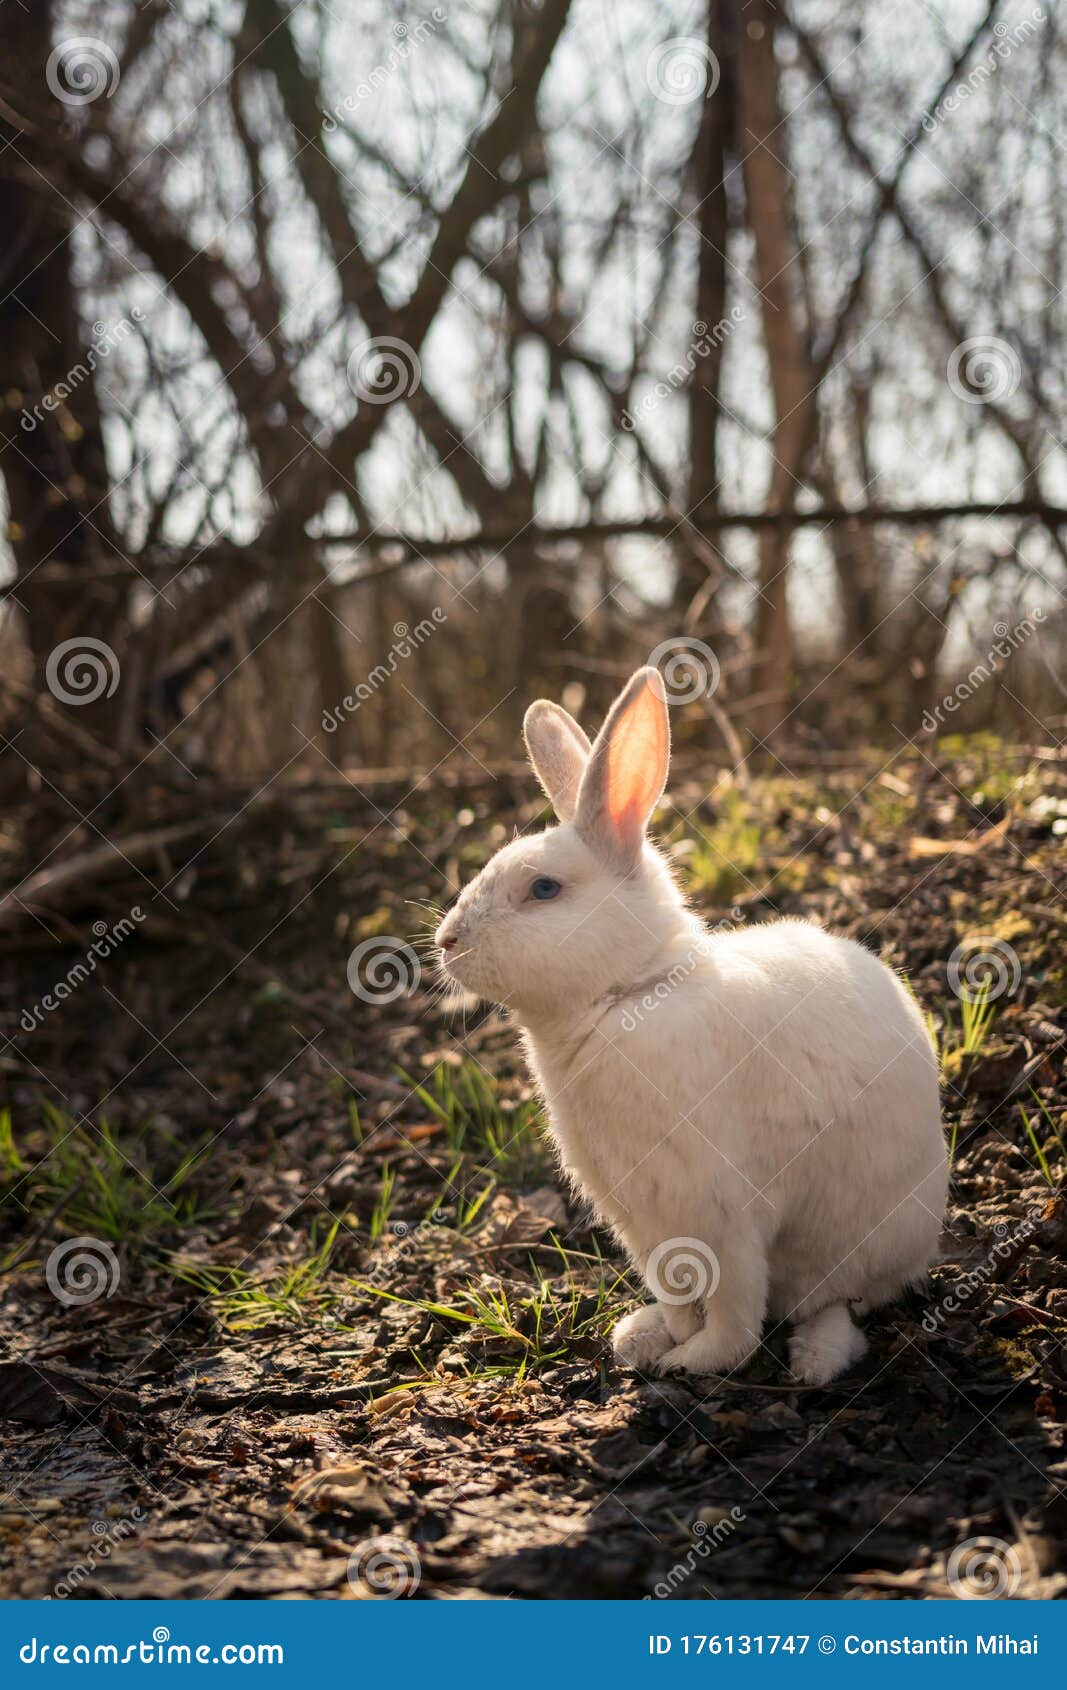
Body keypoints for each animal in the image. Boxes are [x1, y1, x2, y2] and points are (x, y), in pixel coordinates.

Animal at [434, 665, 948, 1385]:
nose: (446, 942)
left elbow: (733, 1310)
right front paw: (661, 1340)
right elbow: (675, 1287)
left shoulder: (722, 1211)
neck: (628, 993)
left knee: (839, 1303)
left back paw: (812, 1362)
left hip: (858, 1245)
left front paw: (697, 1361)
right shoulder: (641, 1217)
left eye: (544, 890)